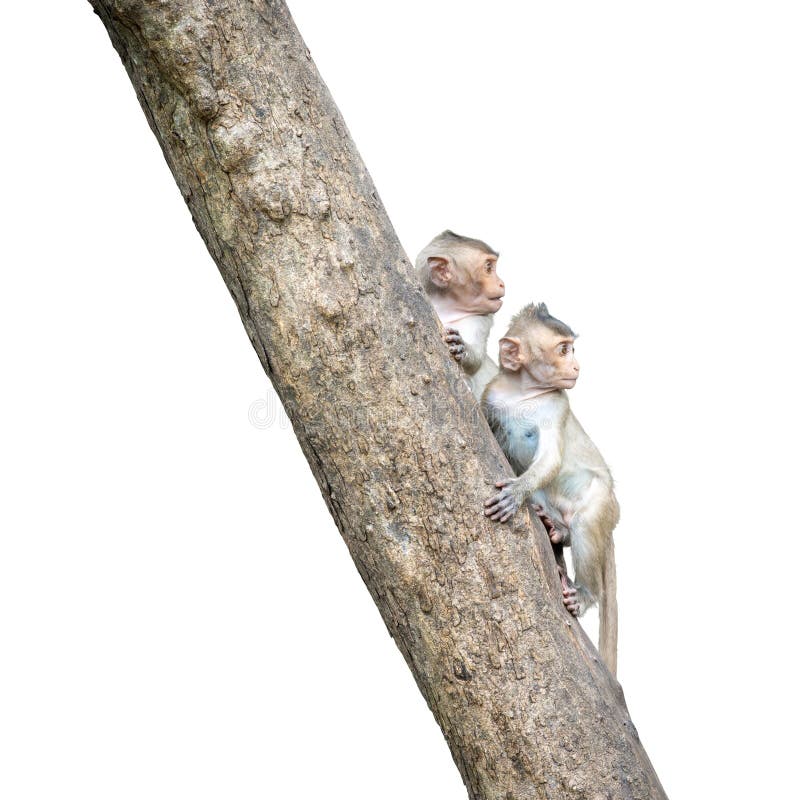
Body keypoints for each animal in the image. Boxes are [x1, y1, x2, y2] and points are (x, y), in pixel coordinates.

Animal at [415, 230, 505, 399]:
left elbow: (476, 361)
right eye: (489, 267)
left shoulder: (480, 319)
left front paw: (460, 347)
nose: (501, 283)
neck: (446, 308)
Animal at [481, 303, 620, 675]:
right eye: (562, 349)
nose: (576, 366)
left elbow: (551, 459)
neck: (523, 393)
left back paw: (585, 592)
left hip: (601, 500)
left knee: (586, 524)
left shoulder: (557, 405)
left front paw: (515, 494)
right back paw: (556, 527)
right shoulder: (492, 397)